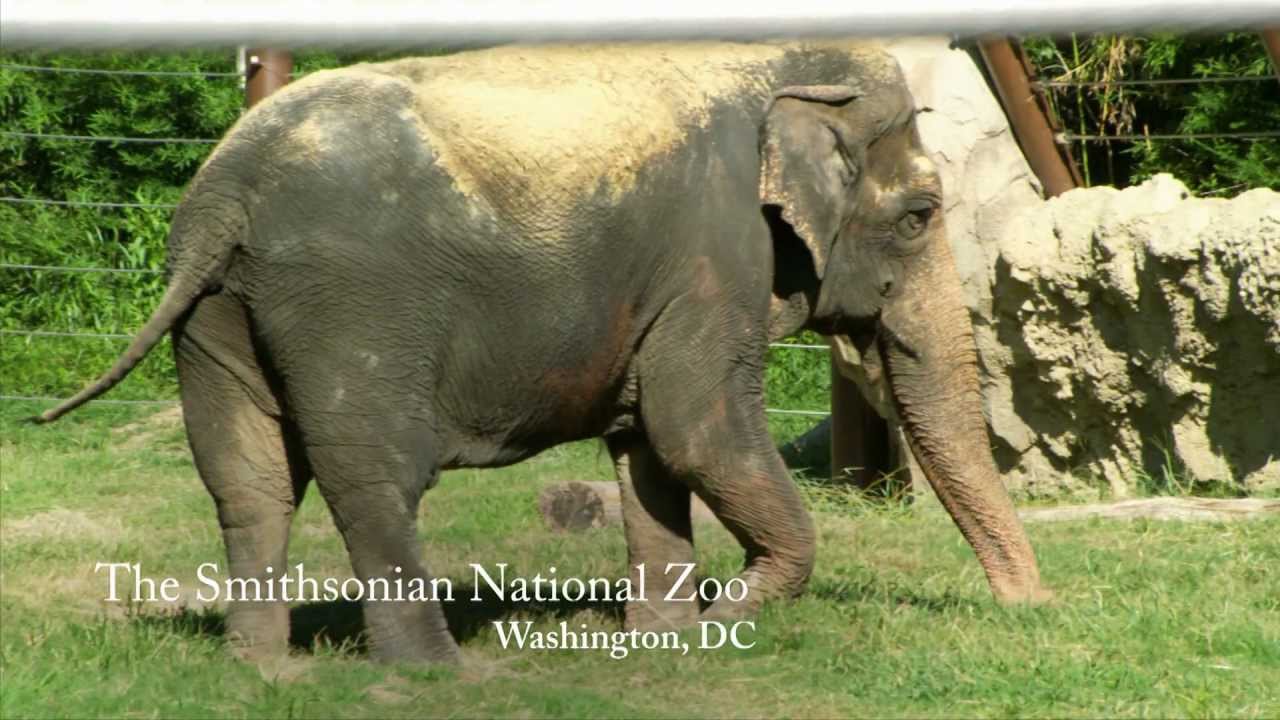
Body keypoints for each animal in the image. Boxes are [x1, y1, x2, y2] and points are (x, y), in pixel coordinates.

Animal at [36, 40, 1050, 664]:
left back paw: (258, 668)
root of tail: (223, 195)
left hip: (219, 312)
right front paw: (730, 616)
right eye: (920, 216)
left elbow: (650, 447)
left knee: (247, 481)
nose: (1023, 608)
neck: (777, 62)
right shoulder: (715, 253)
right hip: (352, 308)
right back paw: (433, 672)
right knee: (375, 477)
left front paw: (667, 643)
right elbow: (696, 427)